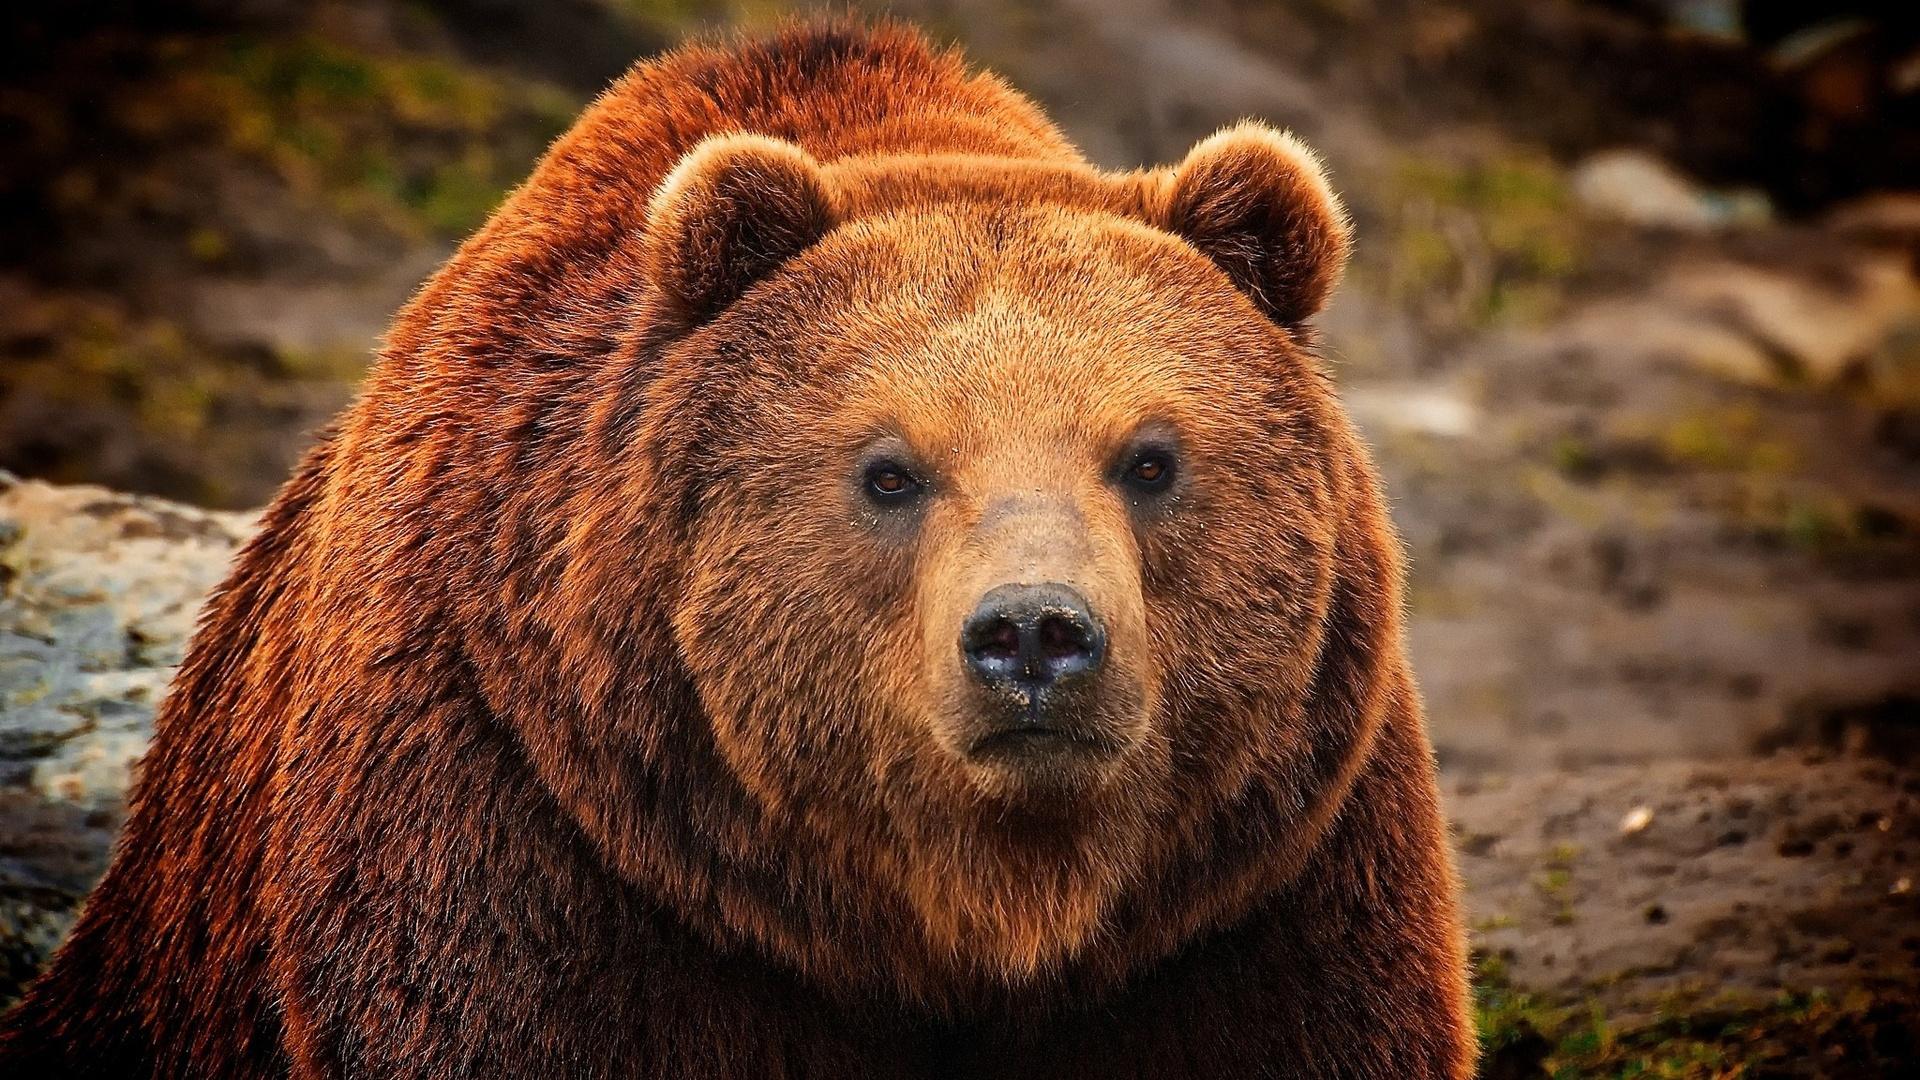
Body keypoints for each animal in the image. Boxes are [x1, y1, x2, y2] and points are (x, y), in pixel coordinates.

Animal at [0, 20, 1472, 1079]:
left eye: (1152, 458)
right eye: (889, 471)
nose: (1035, 637)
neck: (965, 919)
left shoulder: (1252, 895)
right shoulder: (532, 839)